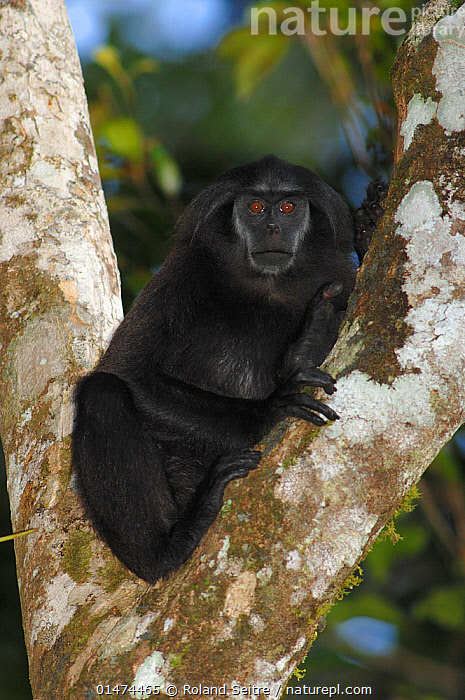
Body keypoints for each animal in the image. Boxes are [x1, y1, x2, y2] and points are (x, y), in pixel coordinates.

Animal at [72, 154, 385, 583]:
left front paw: (370, 226)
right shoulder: (184, 271)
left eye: (288, 208)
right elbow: (129, 371)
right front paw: (270, 409)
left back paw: (309, 340)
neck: (267, 285)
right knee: (102, 392)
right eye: (255, 207)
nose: (272, 227)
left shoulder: (339, 278)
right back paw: (168, 546)